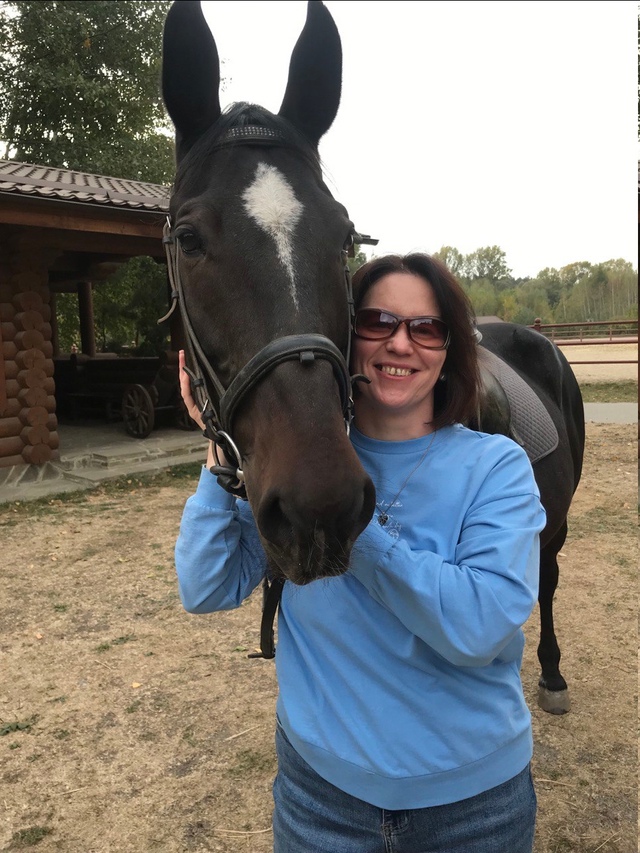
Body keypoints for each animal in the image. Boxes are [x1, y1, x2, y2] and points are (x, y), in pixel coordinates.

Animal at [161, 1, 584, 712]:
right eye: (188, 238)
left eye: (344, 235)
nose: (320, 508)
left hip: (555, 525)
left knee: (546, 579)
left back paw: (551, 673)